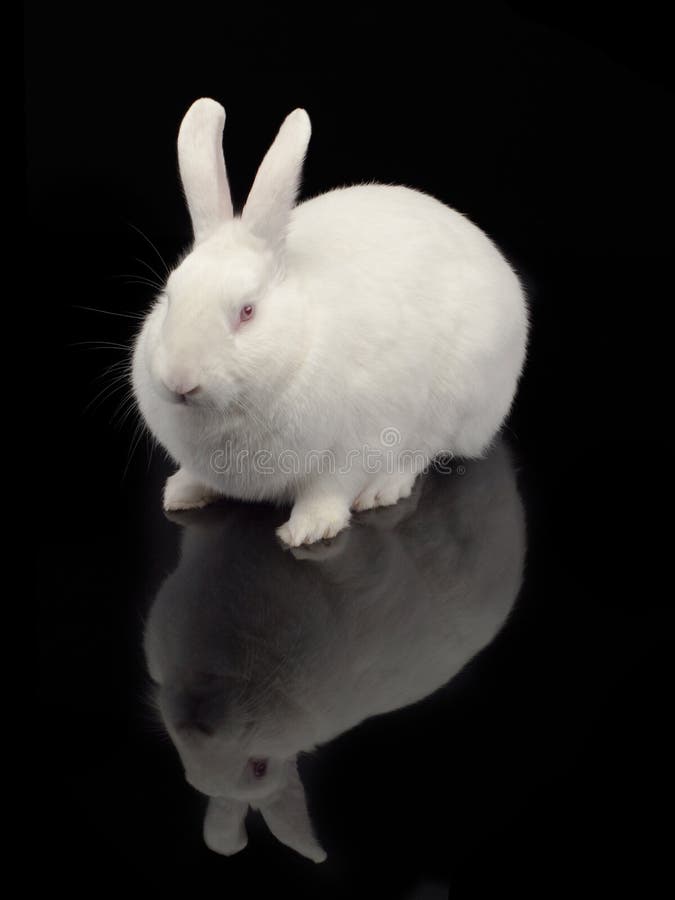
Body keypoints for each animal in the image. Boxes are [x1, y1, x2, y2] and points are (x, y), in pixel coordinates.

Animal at [132, 98, 529, 545]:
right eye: (170, 297)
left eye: (247, 311)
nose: (179, 381)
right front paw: (182, 490)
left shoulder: (354, 447)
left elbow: (329, 490)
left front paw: (307, 529)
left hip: (457, 400)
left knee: (425, 450)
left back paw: (383, 489)